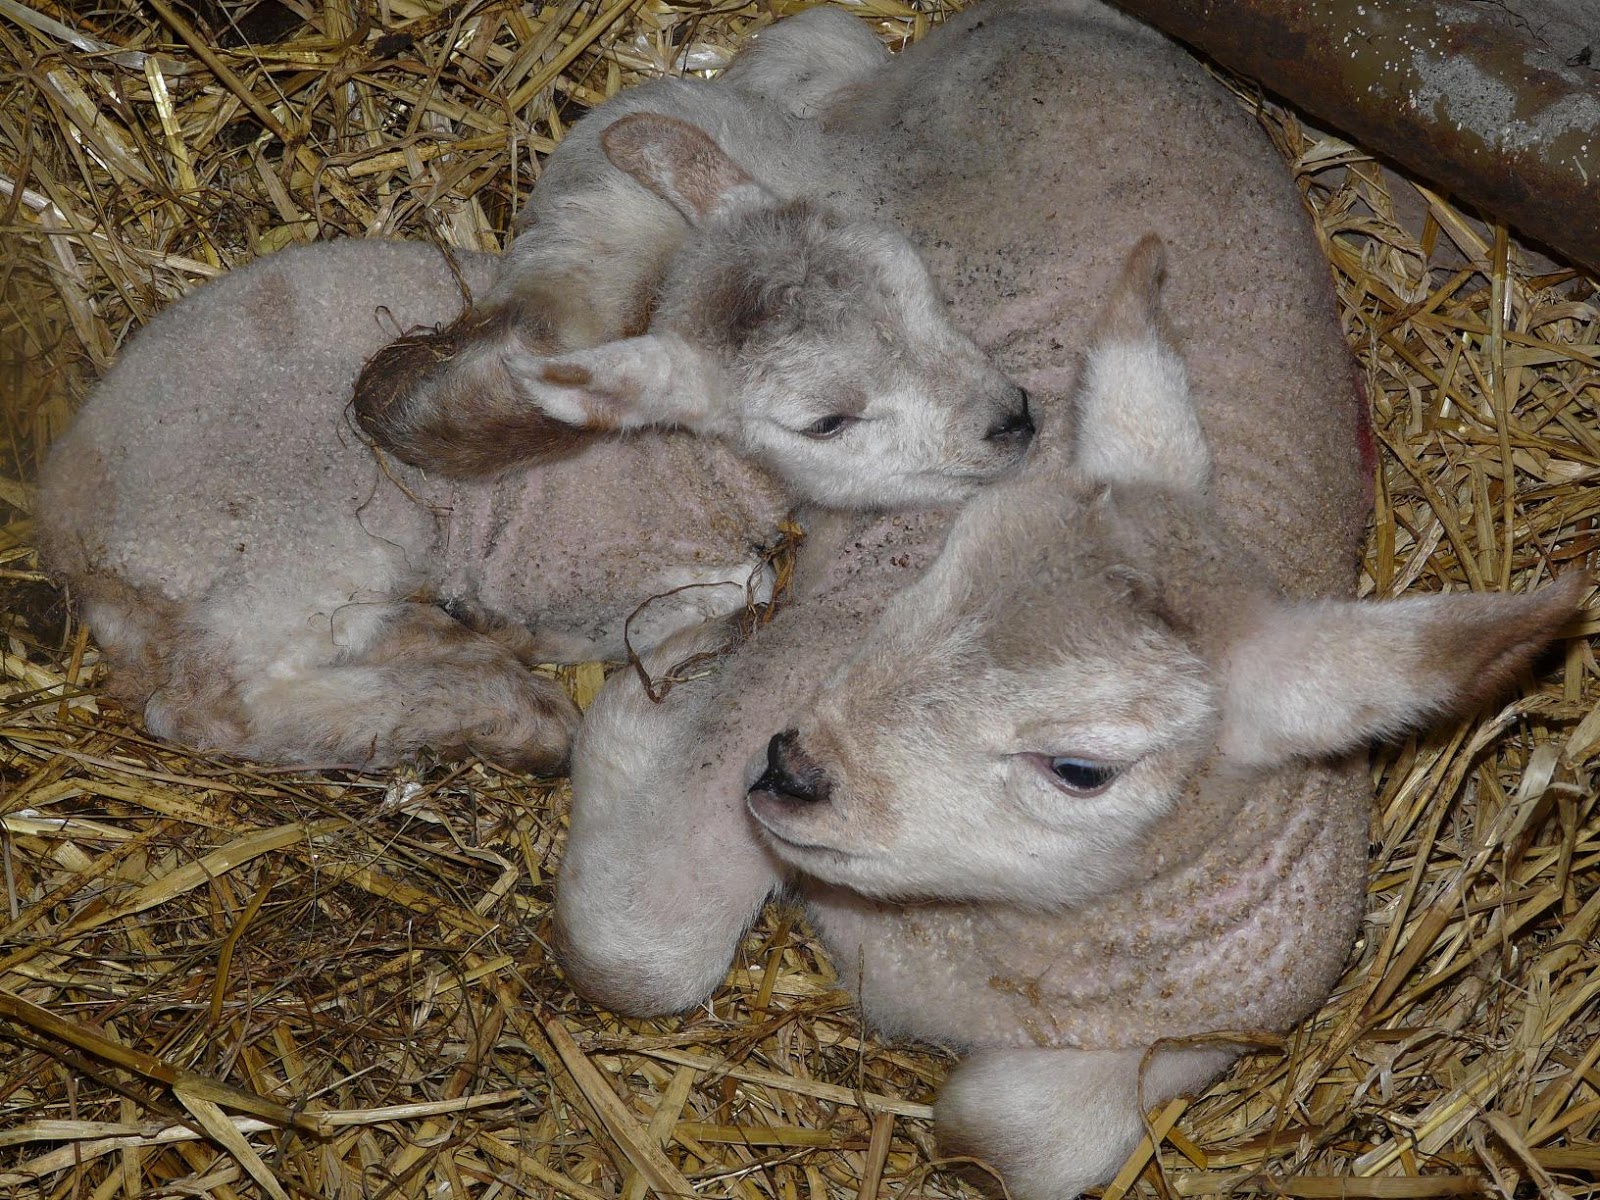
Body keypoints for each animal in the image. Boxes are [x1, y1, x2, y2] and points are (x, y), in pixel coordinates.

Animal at [35, 80, 1032, 771]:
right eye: (826, 421)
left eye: (924, 293)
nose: (1014, 422)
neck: (682, 469)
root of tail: (76, 521)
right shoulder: (576, 565)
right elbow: (737, 587)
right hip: (302, 537)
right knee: (210, 705)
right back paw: (506, 712)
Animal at [551, 3, 1586, 1196]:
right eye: (944, 568)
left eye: (1080, 769)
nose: (793, 772)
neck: (975, 938)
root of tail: (1076, 18)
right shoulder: (789, 680)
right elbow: (636, 953)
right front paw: (631, 723)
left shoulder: (1204, 1030)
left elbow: (1023, 1140)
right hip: (881, 183)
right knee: (692, 120)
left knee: (817, 67)